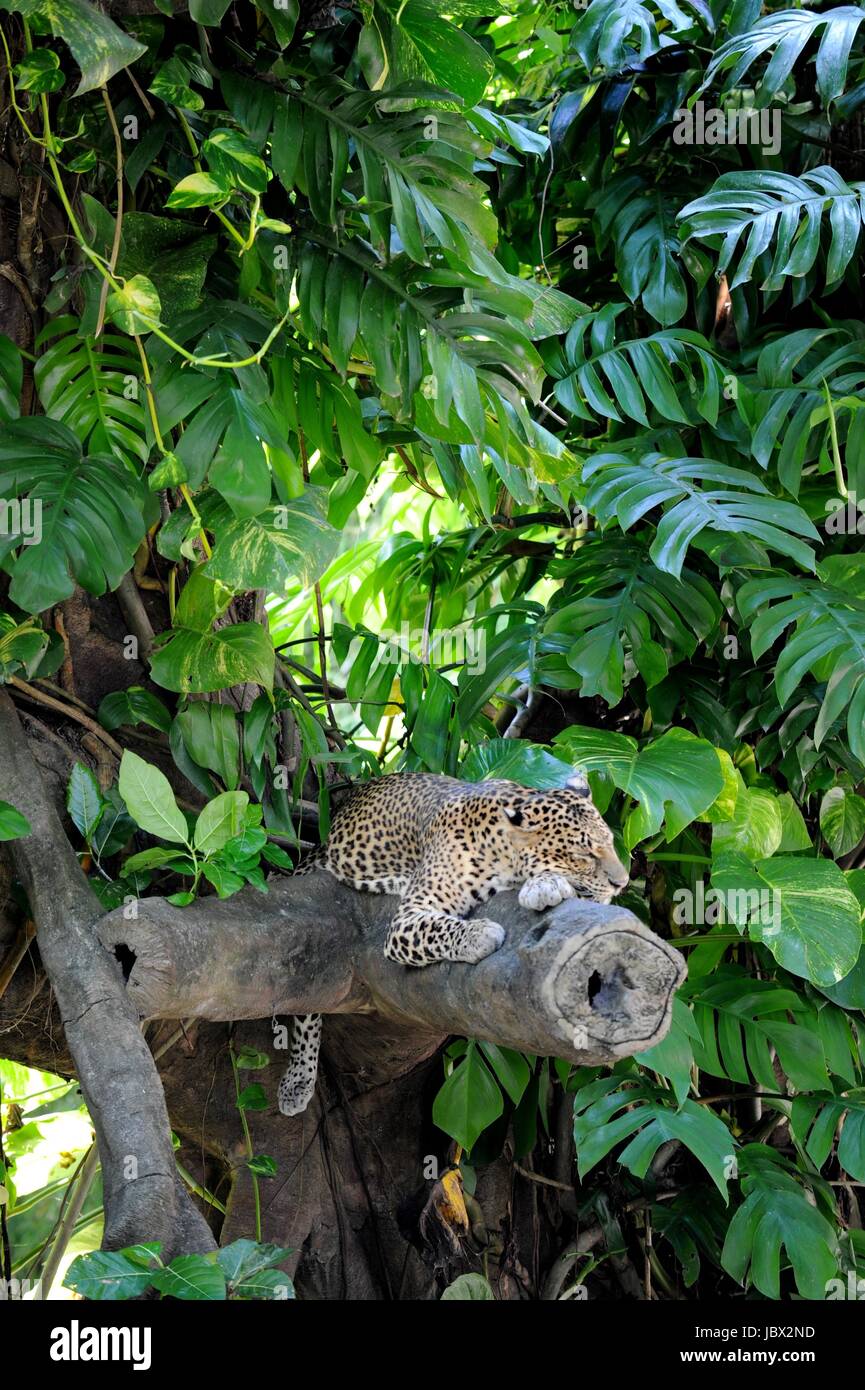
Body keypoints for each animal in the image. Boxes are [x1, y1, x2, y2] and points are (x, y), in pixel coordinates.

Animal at [277, 771, 629, 1117]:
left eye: (611, 844)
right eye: (583, 854)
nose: (623, 882)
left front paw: (545, 885)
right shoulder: (407, 920)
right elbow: (436, 928)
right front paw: (480, 934)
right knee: (307, 1008)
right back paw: (297, 1081)